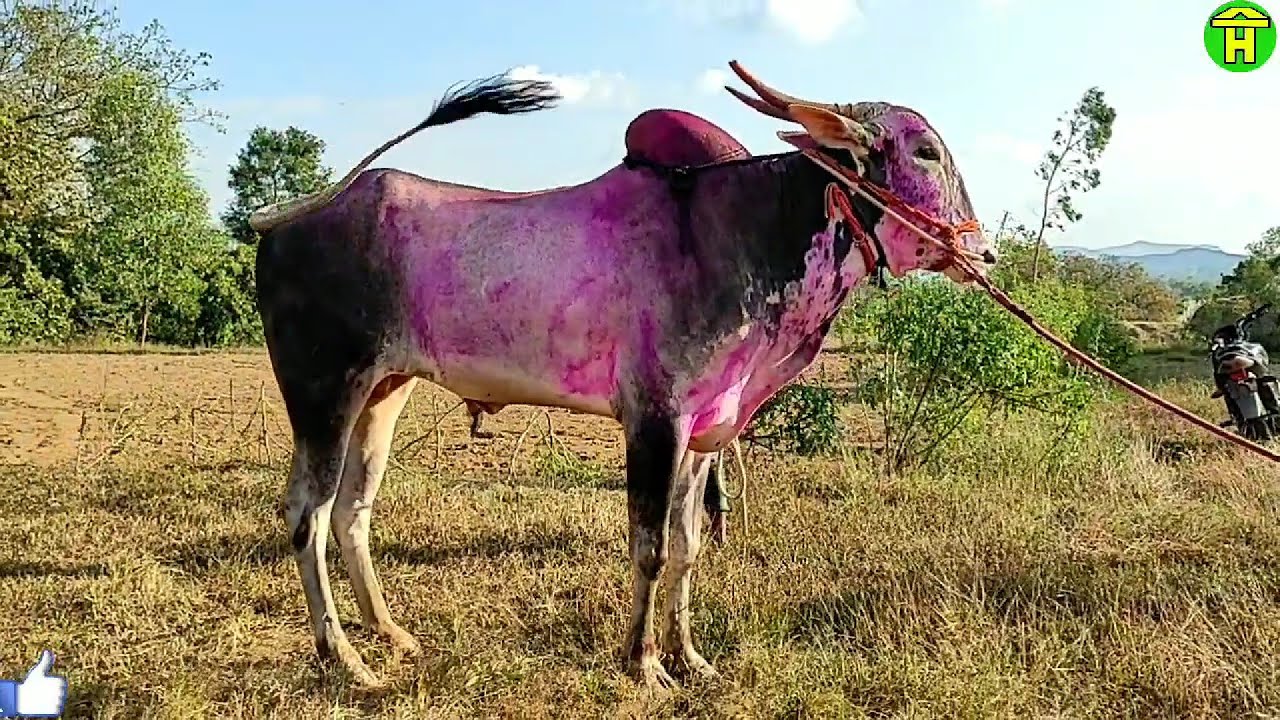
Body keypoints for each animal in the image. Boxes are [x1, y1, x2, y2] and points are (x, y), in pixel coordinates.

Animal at [250, 60, 996, 689]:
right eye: (926, 150)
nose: (985, 252)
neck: (744, 229)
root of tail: (290, 220)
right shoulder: (656, 420)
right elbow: (651, 548)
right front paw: (644, 664)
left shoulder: (704, 429)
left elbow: (688, 547)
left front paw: (689, 656)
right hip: (324, 392)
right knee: (308, 515)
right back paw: (342, 657)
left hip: (384, 391)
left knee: (352, 512)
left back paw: (388, 632)